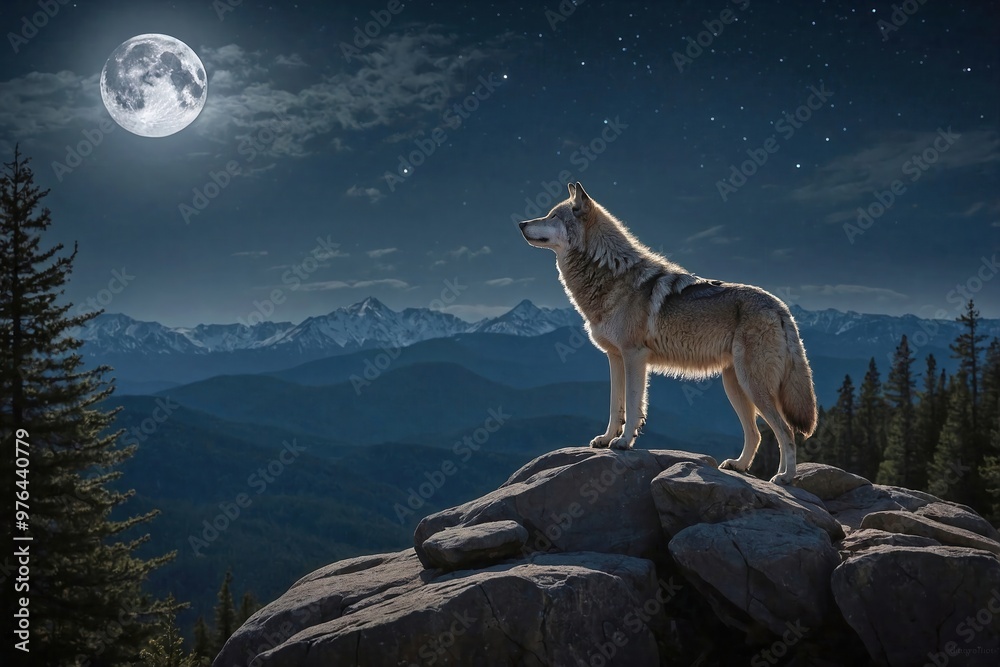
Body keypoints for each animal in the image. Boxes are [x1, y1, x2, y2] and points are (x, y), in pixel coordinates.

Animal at [518, 182, 817, 484]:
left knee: (786, 432)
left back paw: (785, 478)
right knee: (757, 434)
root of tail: (781, 307)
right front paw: (606, 439)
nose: (521, 223)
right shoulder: (615, 358)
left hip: (752, 385)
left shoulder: (634, 356)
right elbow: (616, 406)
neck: (610, 275)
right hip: (735, 385)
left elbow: (633, 404)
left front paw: (623, 442)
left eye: (552, 216)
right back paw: (741, 466)